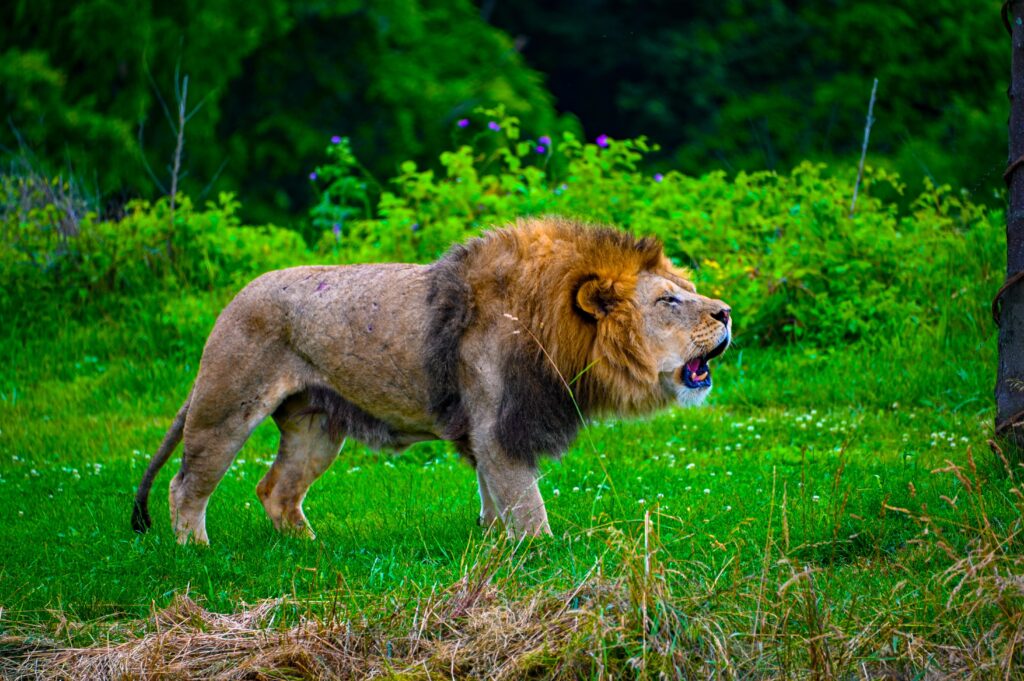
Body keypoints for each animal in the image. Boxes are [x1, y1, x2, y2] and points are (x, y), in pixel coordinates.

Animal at [131, 217, 731, 544]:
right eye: (668, 300)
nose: (726, 313)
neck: (555, 329)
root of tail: (231, 302)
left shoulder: (489, 432)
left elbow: (494, 500)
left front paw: (493, 544)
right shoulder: (500, 427)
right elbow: (526, 506)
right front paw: (545, 555)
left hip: (315, 426)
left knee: (275, 490)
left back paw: (311, 549)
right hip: (225, 404)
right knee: (186, 485)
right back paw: (197, 553)